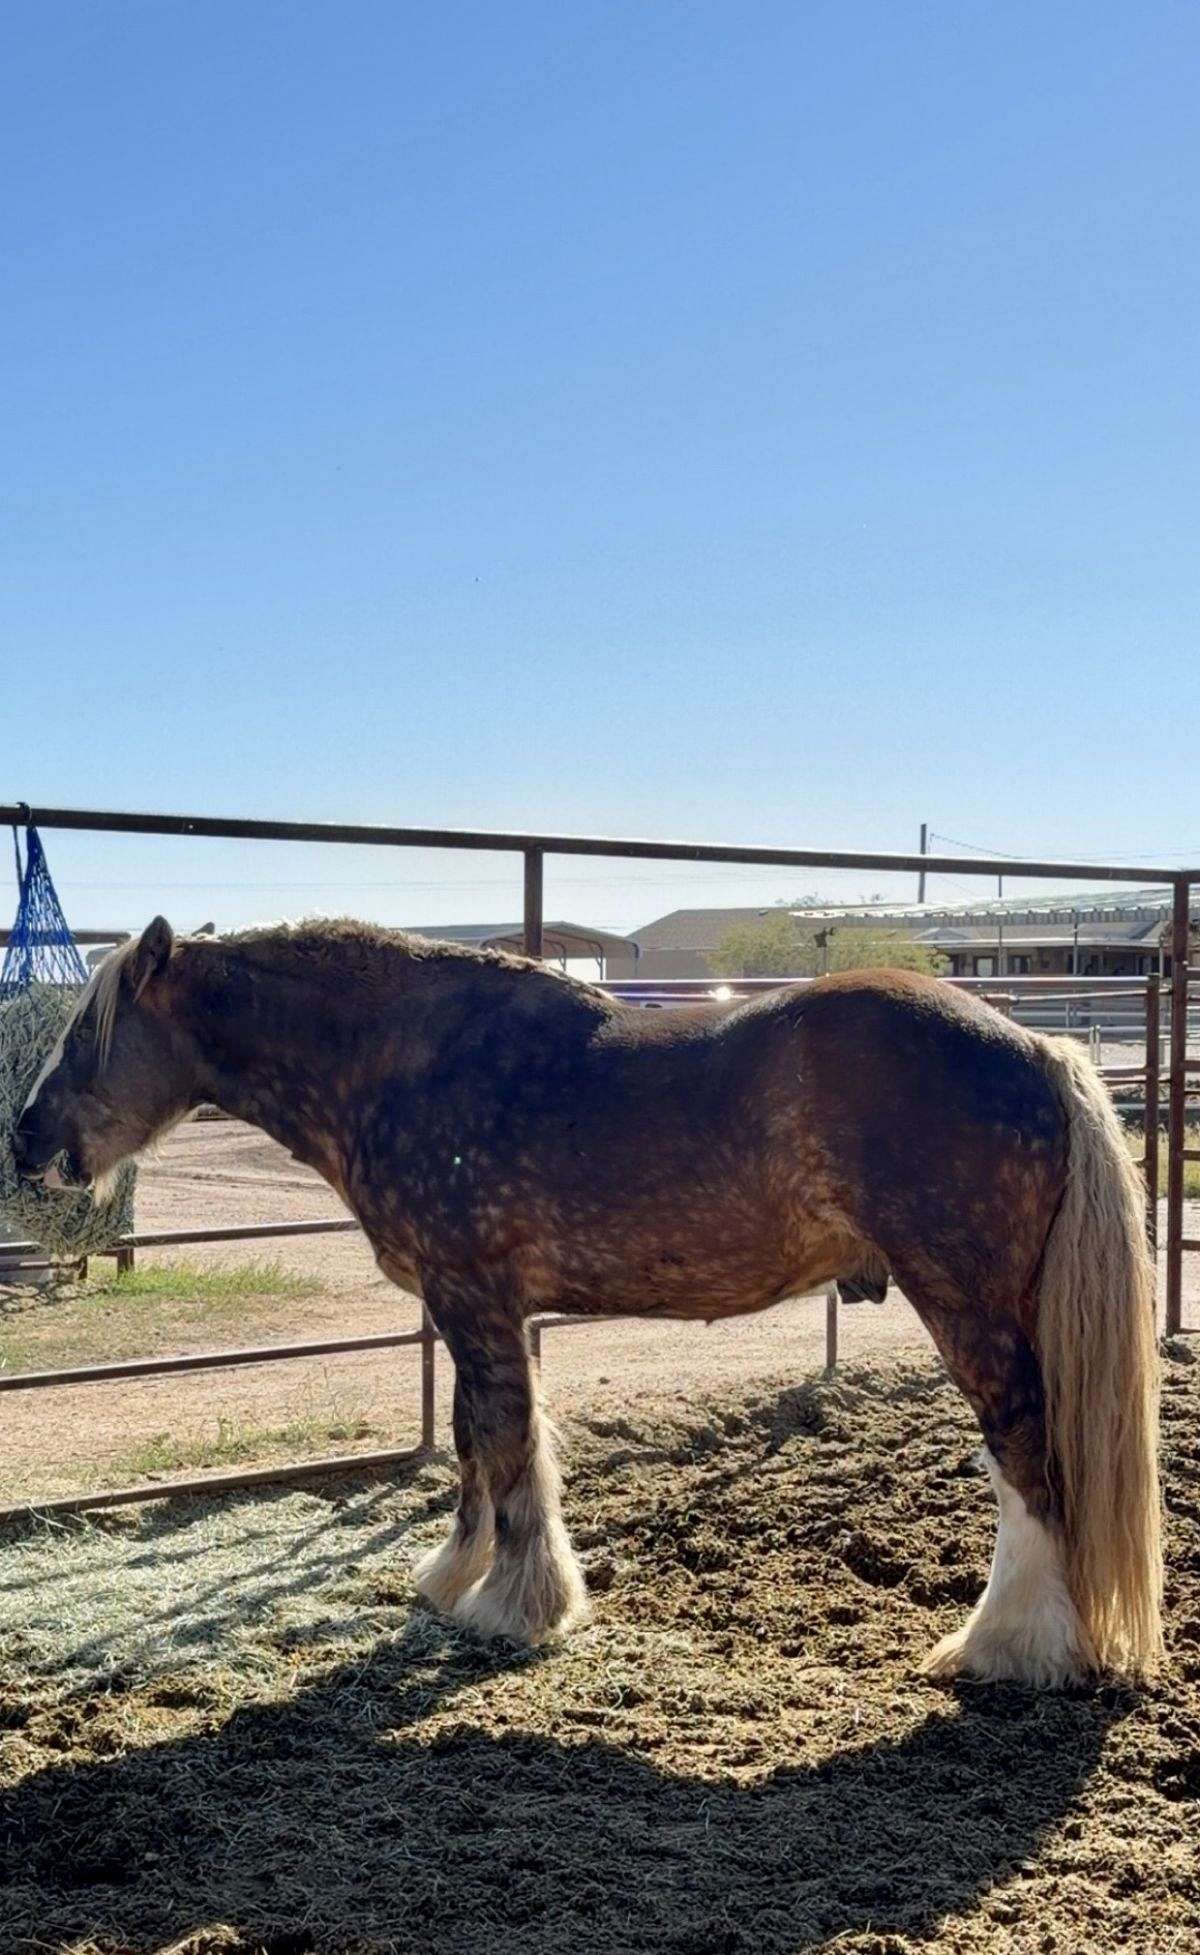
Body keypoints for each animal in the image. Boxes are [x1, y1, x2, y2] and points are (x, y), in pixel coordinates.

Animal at [13, 916, 1162, 1686]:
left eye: (85, 1032)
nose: (25, 1141)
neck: (401, 1057)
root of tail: (1043, 1049)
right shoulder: (482, 1310)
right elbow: (479, 1444)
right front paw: (456, 1579)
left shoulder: (473, 1301)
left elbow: (504, 1444)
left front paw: (514, 1607)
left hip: (968, 1309)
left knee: (1026, 1459)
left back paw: (1008, 1644)